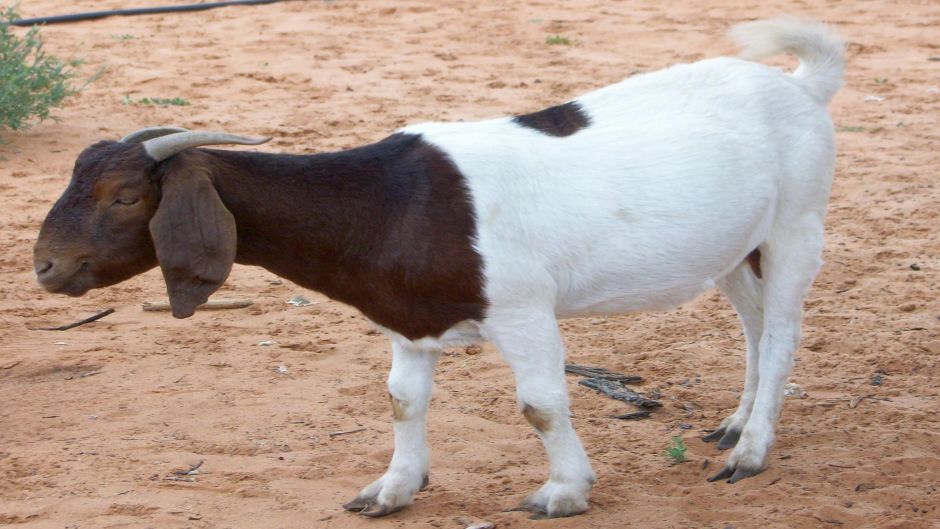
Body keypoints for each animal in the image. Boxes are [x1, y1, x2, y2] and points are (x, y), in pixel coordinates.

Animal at [33, 17, 844, 518]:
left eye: (126, 195)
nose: (45, 266)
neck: (391, 202)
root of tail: (802, 86)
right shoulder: (407, 319)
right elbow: (402, 400)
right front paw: (393, 489)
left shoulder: (523, 310)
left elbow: (540, 404)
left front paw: (564, 491)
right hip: (737, 247)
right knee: (753, 323)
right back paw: (734, 425)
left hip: (796, 225)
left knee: (782, 335)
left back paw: (752, 451)